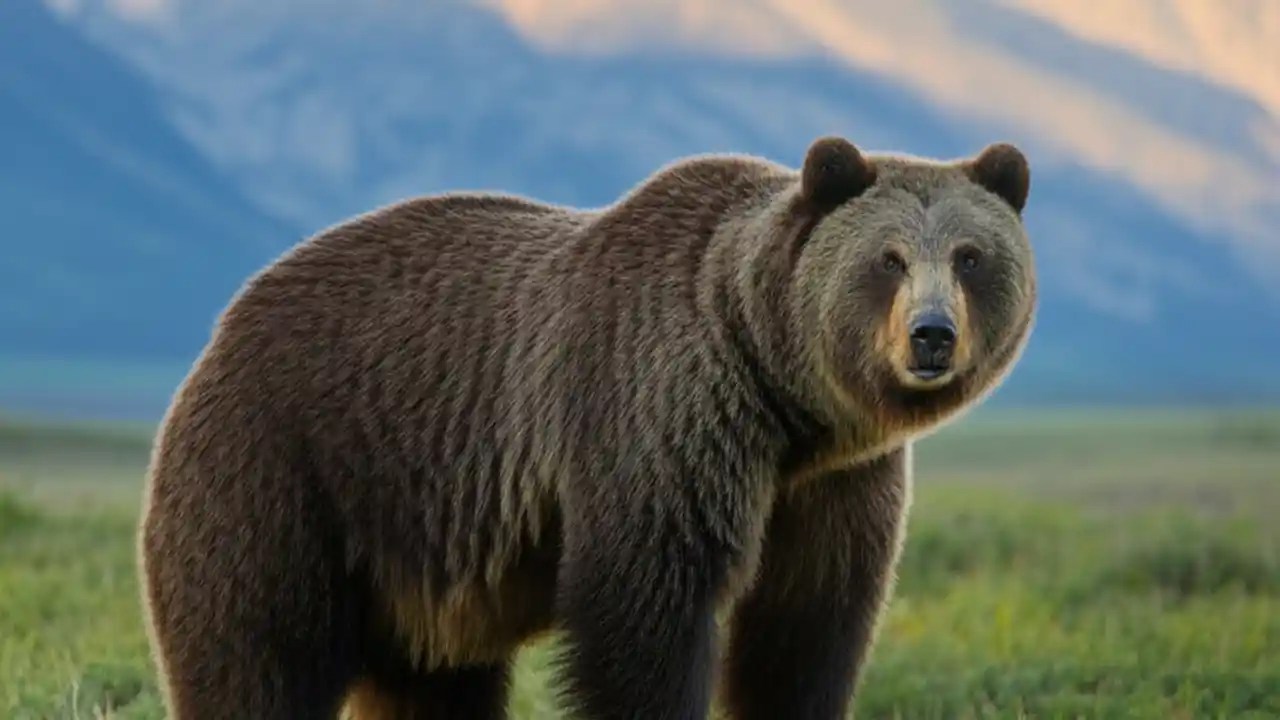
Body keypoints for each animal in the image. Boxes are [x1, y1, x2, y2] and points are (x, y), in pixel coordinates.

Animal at [138, 135, 1036, 720]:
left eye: (970, 256)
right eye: (887, 259)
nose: (930, 336)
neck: (779, 395)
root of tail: (225, 323)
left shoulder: (833, 485)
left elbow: (806, 629)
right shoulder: (657, 413)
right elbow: (644, 617)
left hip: (418, 558)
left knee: (434, 691)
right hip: (288, 470)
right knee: (256, 652)